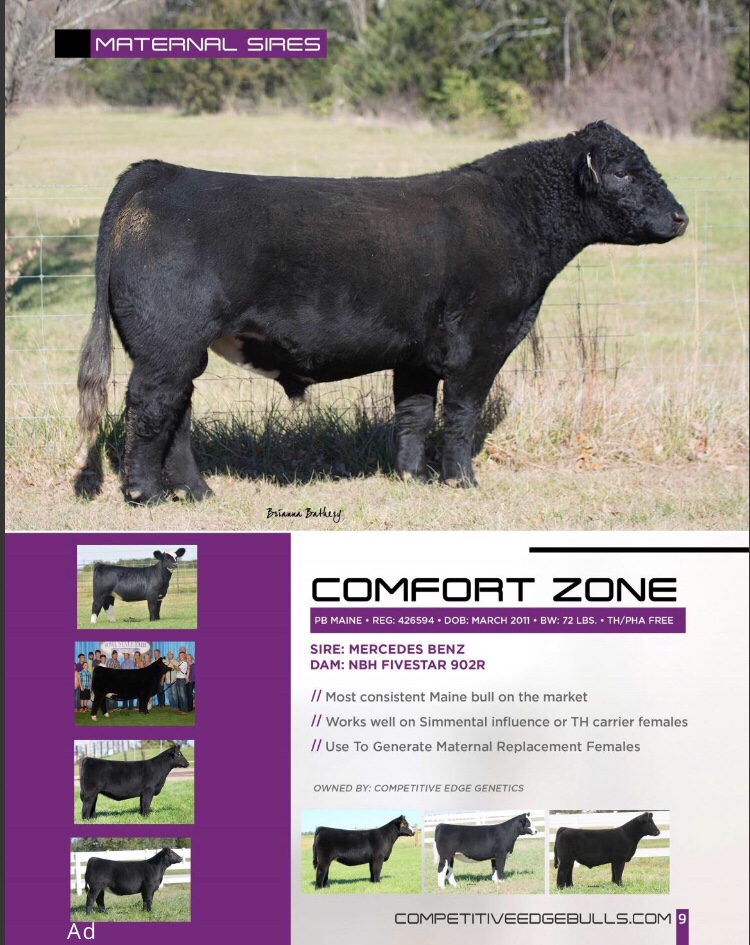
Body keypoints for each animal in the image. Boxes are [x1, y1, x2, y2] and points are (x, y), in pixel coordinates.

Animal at [76, 121, 688, 504]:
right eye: (623, 172)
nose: (681, 216)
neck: (518, 218)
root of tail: (161, 170)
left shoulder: (417, 352)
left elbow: (414, 413)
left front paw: (413, 477)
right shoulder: (480, 345)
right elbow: (461, 415)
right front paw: (461, 481)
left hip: (177, 349)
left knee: (176, 410)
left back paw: (196, 491)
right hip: (169, 343)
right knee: (152, 406)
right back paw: (146, 494)